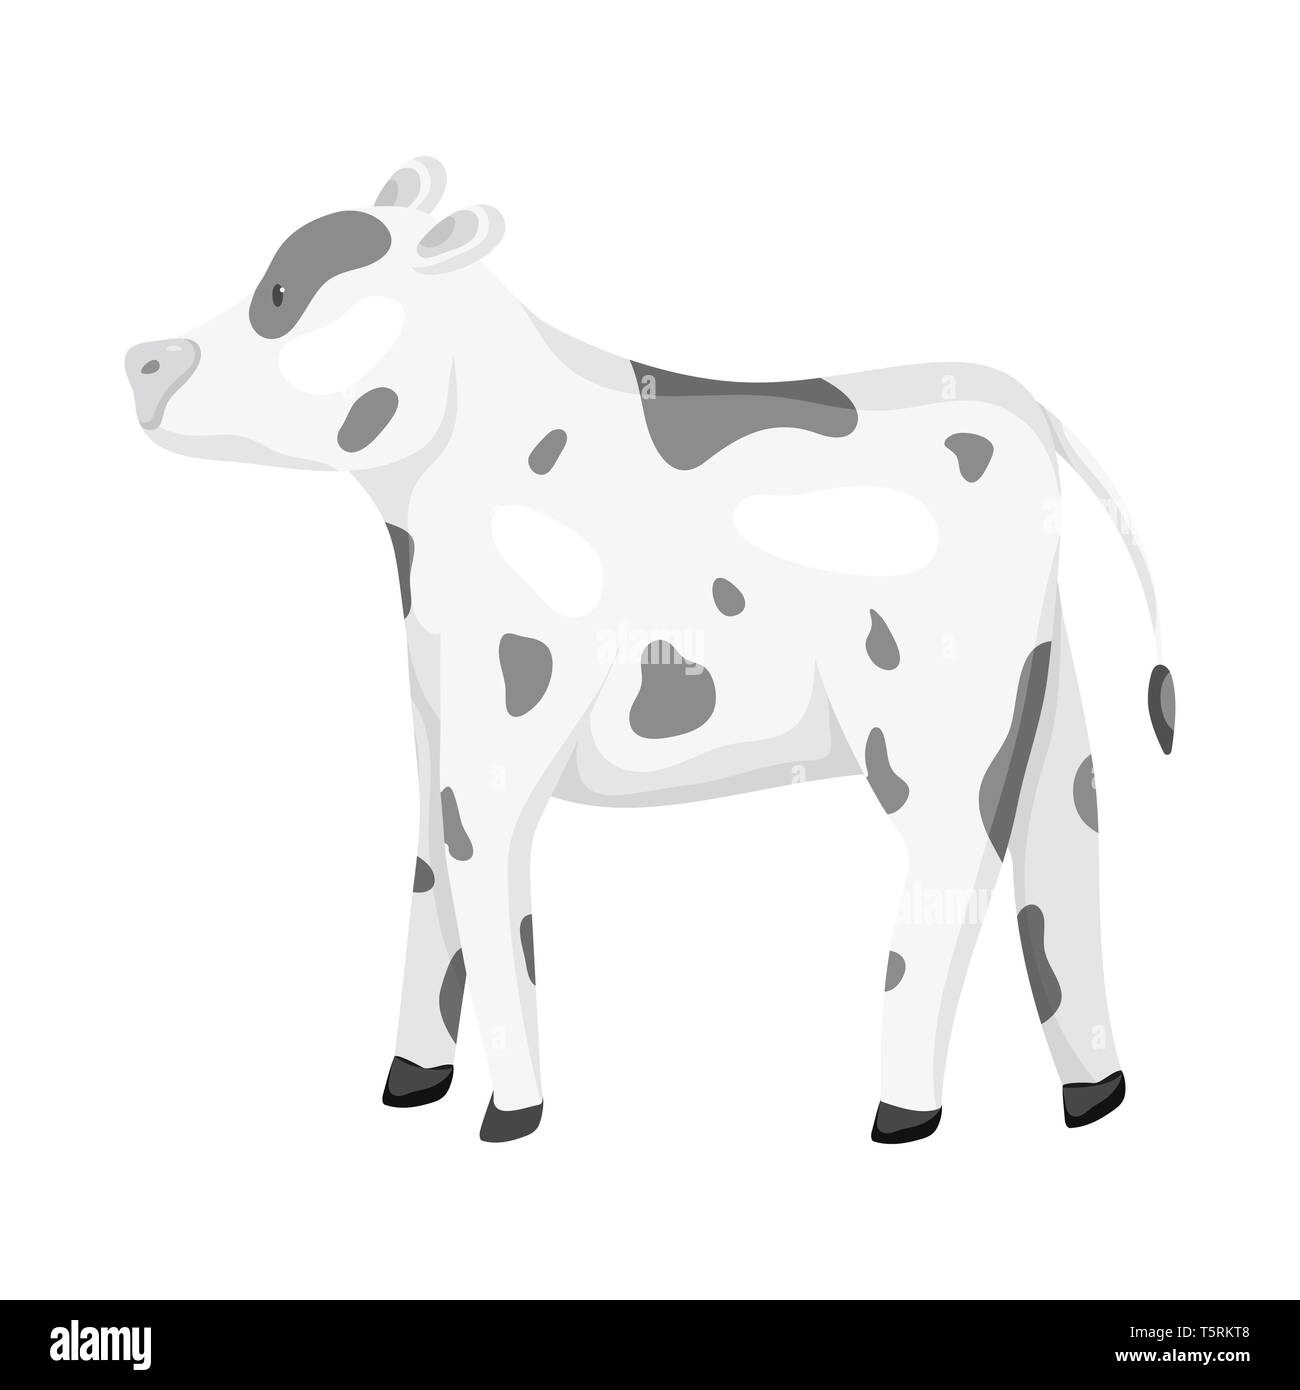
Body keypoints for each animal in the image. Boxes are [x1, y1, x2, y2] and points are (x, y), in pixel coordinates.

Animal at [125, 156, 1174, 1143]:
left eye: (281, 292)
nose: (143, 359)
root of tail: (1023, 406)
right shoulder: (435, 723)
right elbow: (428, 886)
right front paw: (409, 1082)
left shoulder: (505, 725)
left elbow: (488, 894)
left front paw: (510, 1116)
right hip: (1046, 696)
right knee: (1063, 851)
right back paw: (1094, 1095)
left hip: (931, 726)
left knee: (954, 875)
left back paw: (901, 1112)